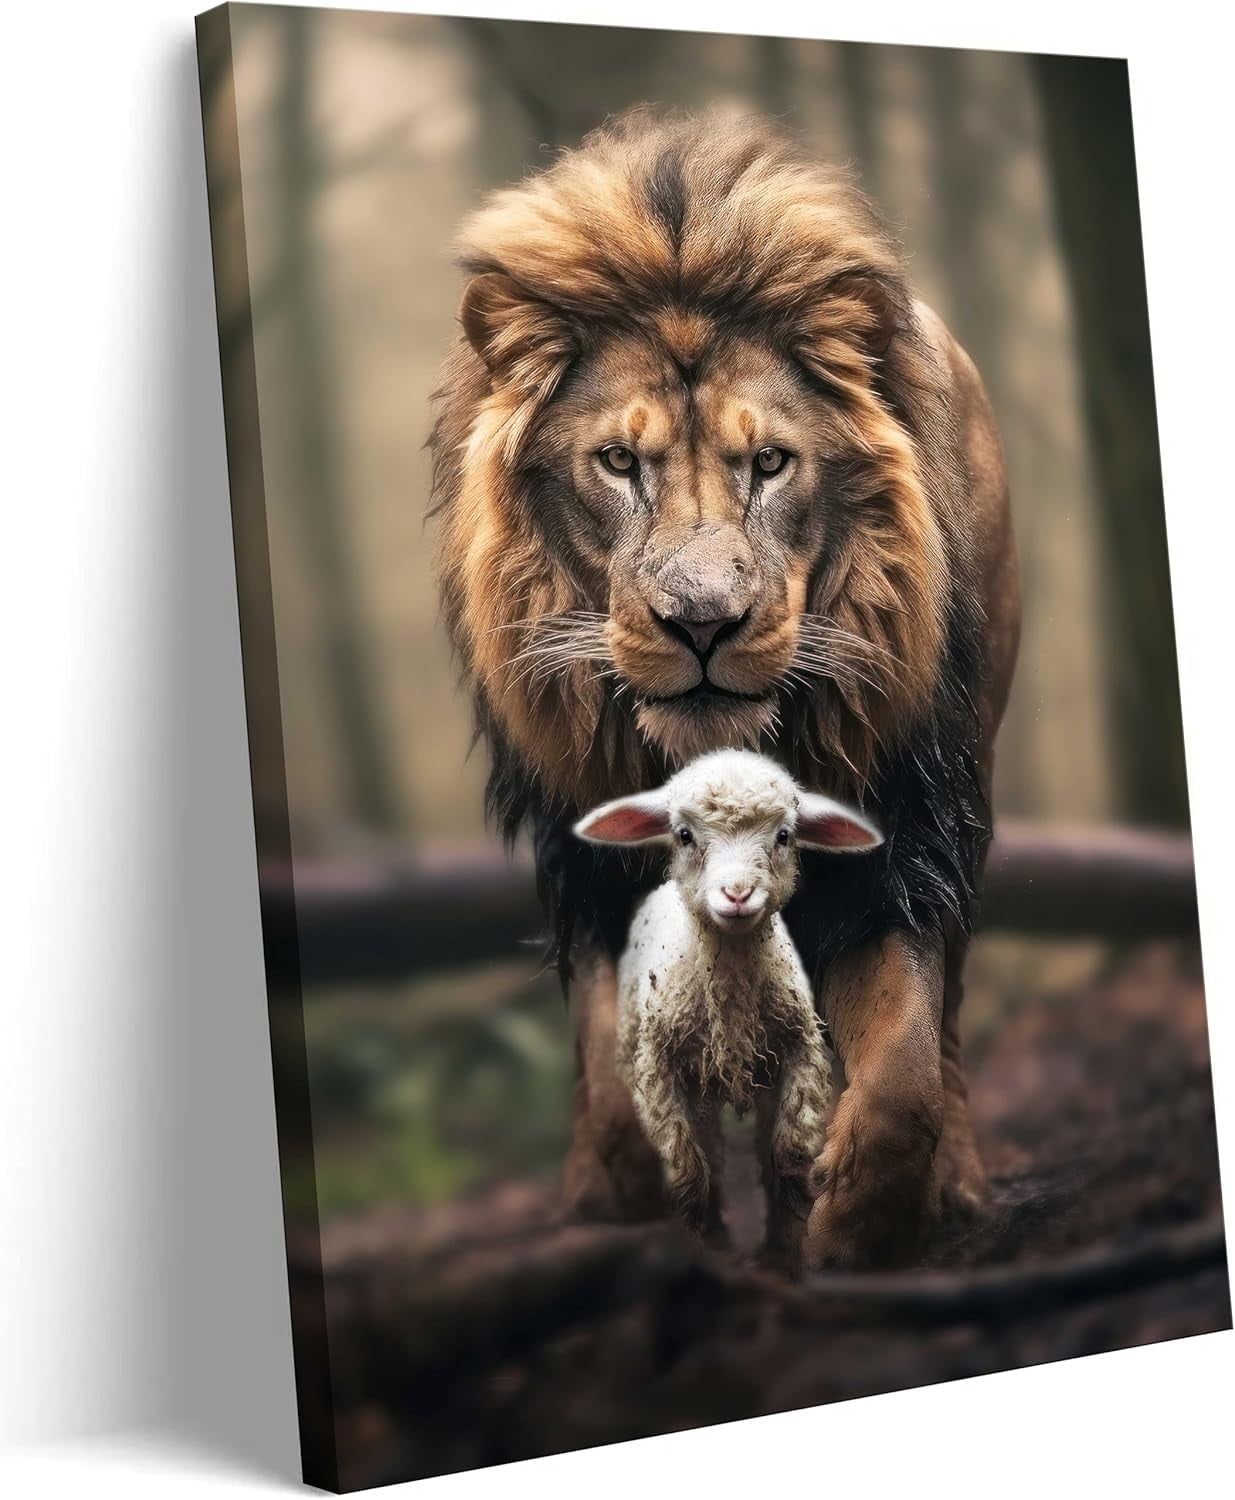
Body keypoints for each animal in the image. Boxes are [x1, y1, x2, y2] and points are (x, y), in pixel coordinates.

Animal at [574, 749, 883, 1264]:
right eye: (684, 834)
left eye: (784, 835)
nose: (737, 895)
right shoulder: (656, 1069)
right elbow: (688, 1170)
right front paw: (699, 1245)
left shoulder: (801, 1052)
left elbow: (787, 1157)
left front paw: (784, 1251)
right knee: (711, 1156)